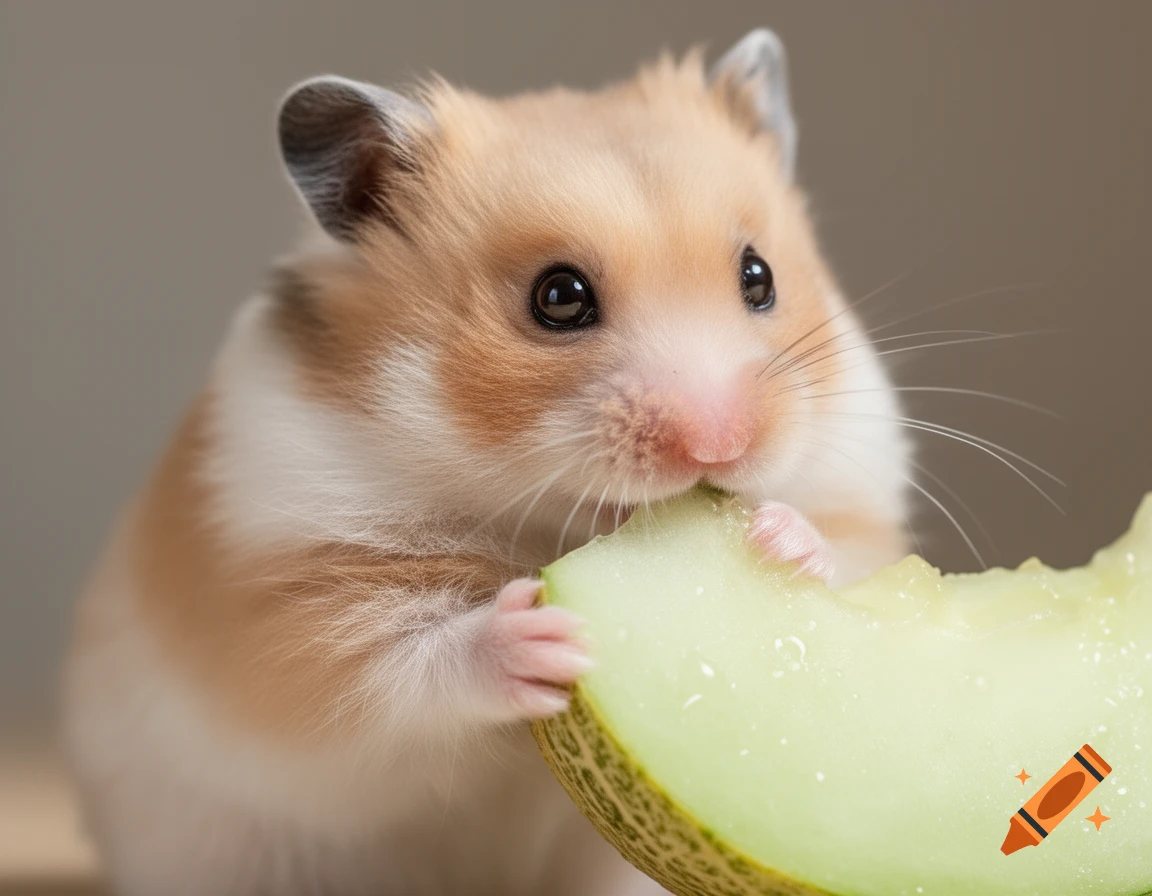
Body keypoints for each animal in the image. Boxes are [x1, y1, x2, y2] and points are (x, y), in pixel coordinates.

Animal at [63, 28, 910, 896]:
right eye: (559, 297)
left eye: (758, 277)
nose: (720, 446)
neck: (543, 514)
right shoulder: (296, 610)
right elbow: (401, 671)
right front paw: (538, 637)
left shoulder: (859, 492)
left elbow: (850, 550)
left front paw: (784, 538)